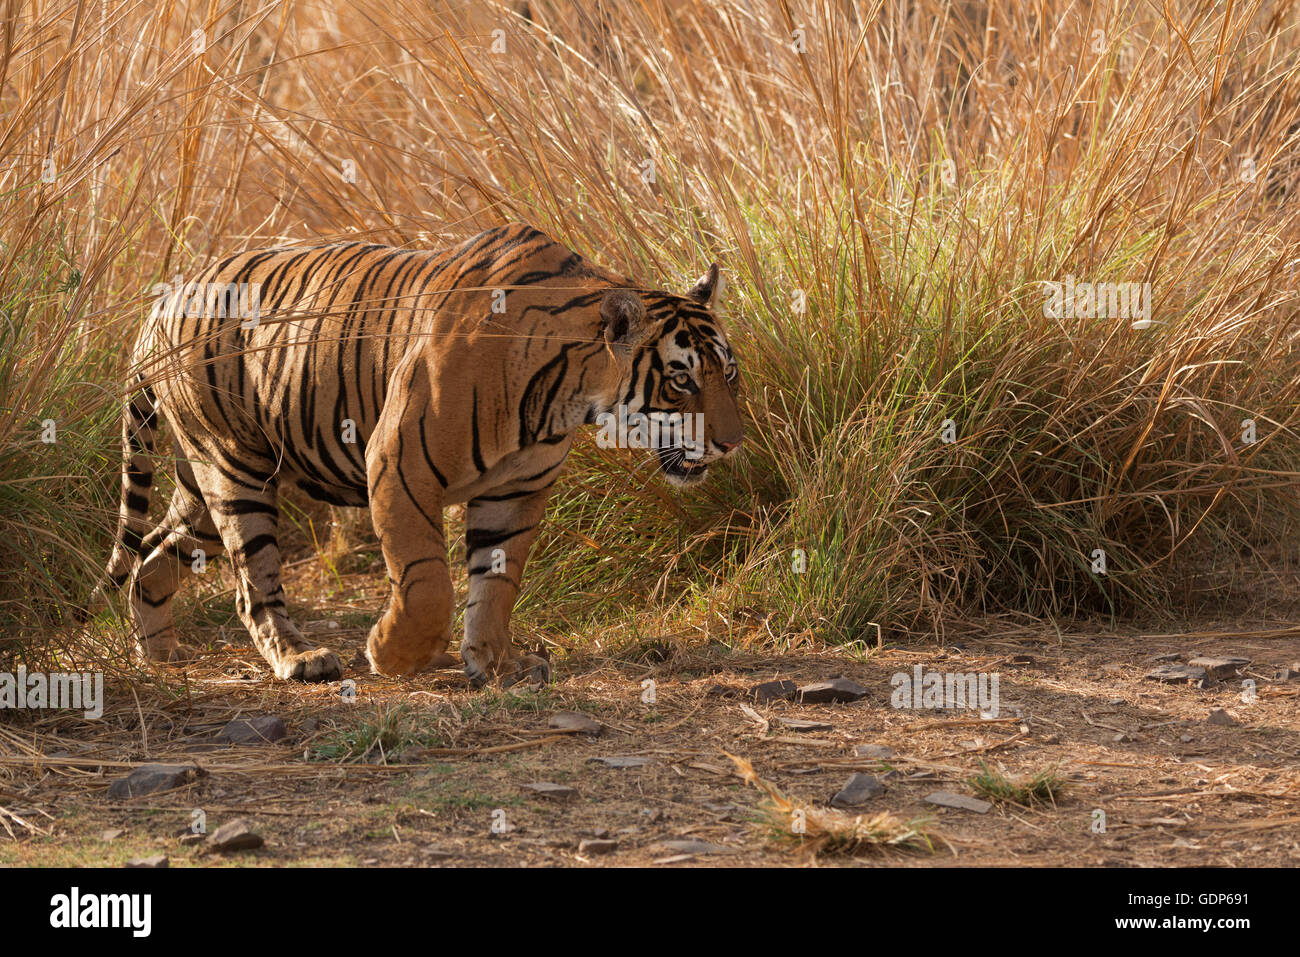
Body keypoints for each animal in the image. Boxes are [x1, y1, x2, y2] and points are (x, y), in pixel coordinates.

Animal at [100, 224, 744, 687]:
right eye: (682, 380)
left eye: (729, 373)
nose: (732, 442)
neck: (566, 394)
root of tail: (167, 296)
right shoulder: (398, 464)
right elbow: (429, 582)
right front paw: (393, 654)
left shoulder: (515, 491)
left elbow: (496, 582)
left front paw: (495, 664)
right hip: (235, 469)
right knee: (250, 583)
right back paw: (300, 658)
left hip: (207, 483)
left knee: (154, 554)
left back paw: (158, 653)